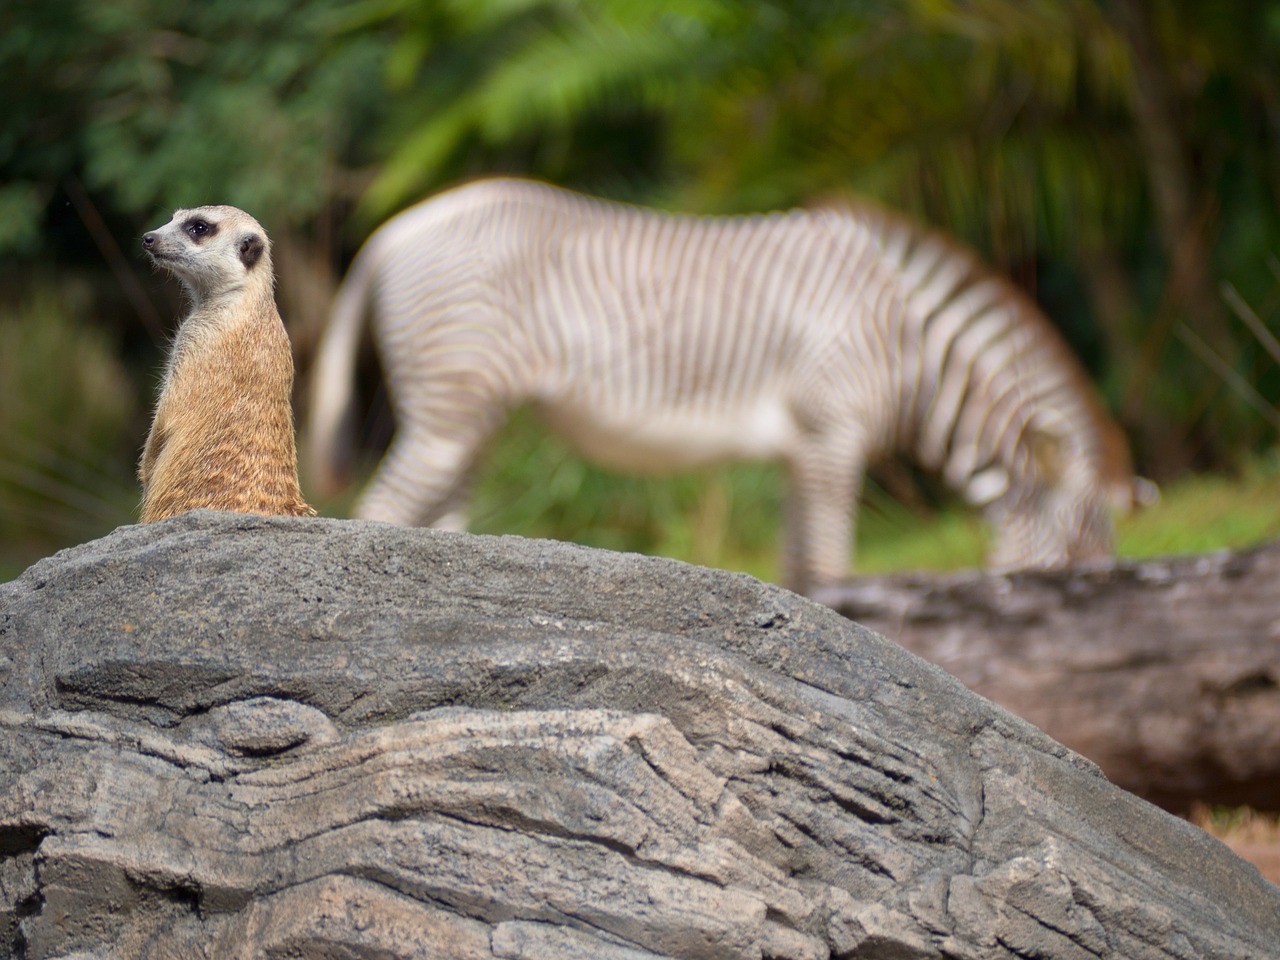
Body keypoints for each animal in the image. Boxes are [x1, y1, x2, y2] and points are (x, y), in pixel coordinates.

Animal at [306, 177, 1149, 594]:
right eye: (1079, 562)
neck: (907, 344)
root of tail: (390, 233)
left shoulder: (801, 450)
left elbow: (800, 568)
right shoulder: (834, 432)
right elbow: (833, 565)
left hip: (471, 416)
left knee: (435, 520)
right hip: (450, 412)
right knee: (380, 513)